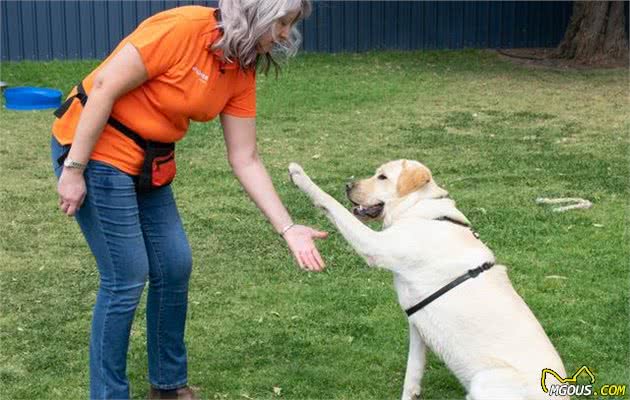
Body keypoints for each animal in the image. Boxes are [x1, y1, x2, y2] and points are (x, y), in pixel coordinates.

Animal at [288, 159, 572, 400]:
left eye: (382, 177)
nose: (348, 186)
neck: (419, 211)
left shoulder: (375, 246)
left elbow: (331, 204)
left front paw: (300, 176)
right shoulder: (417, 328)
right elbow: (411, 377)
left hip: (487, 380)